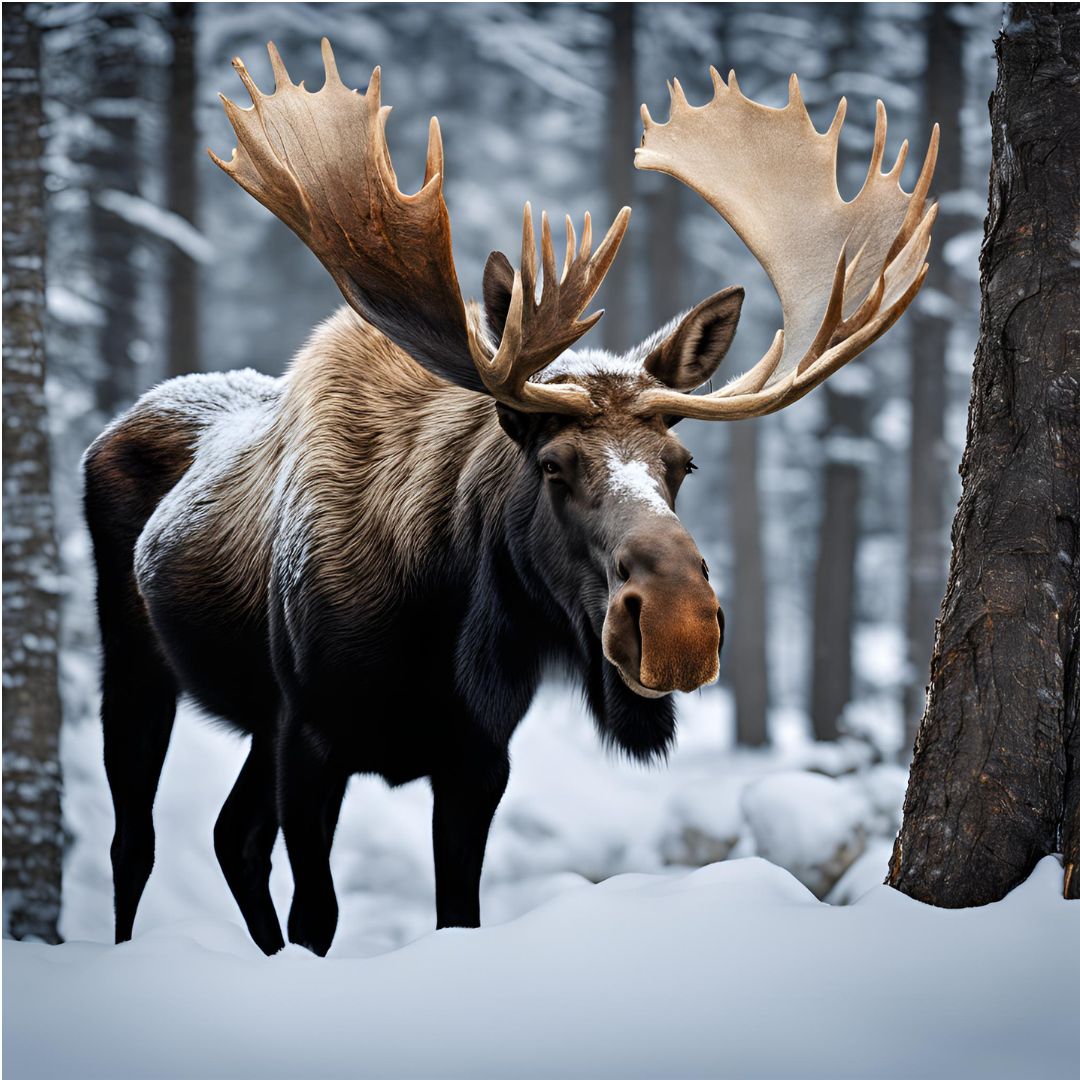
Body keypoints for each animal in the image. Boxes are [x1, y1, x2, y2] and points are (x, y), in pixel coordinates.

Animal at [83, 40, 937, 957]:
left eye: (683, 463)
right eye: (553, 465)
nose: (679, 625)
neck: (437, 620)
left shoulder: (476, 756)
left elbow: (458, 911)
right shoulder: (311, 739)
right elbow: (320, 918)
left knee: (230, 835)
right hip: (135, 667)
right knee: (135, 840)